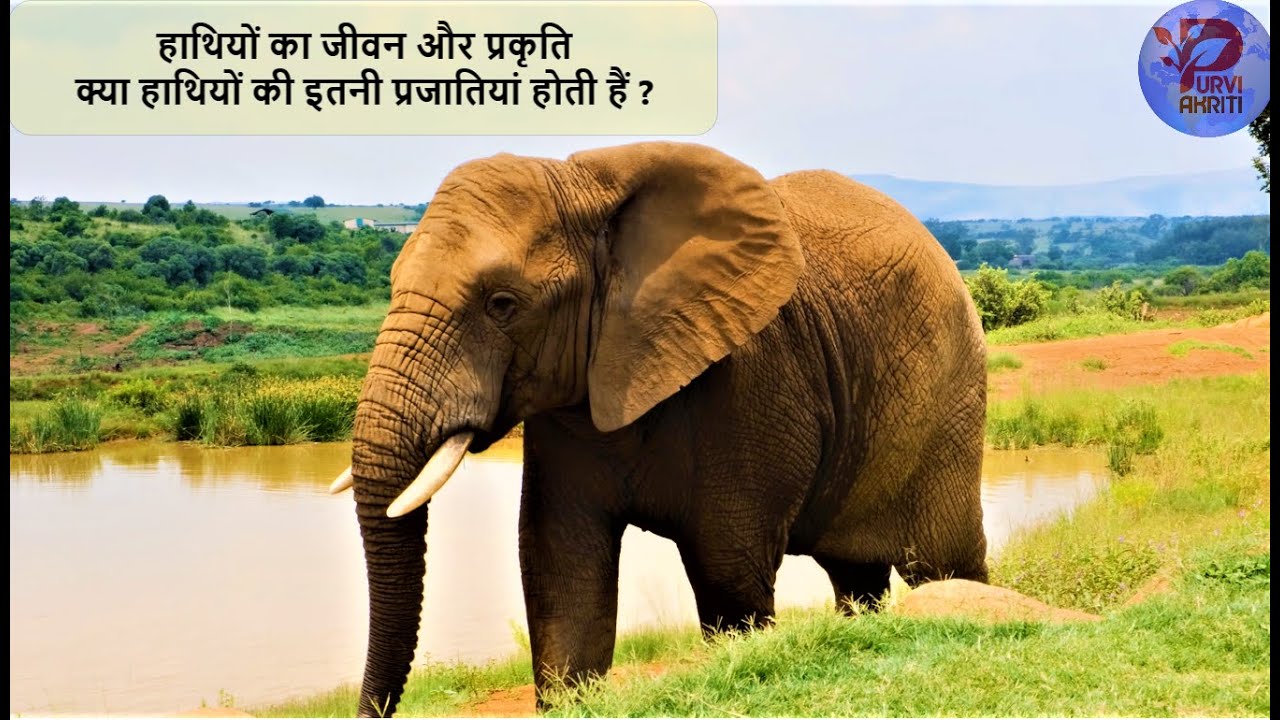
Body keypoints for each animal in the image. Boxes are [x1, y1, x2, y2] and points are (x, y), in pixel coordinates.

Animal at [329, 141, 989, 717]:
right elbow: (560, 568)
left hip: (949, 391)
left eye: (502, 305)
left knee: (944, 561)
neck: (590, 186)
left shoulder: (752, 375)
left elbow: (728, 571)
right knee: (856, 575)